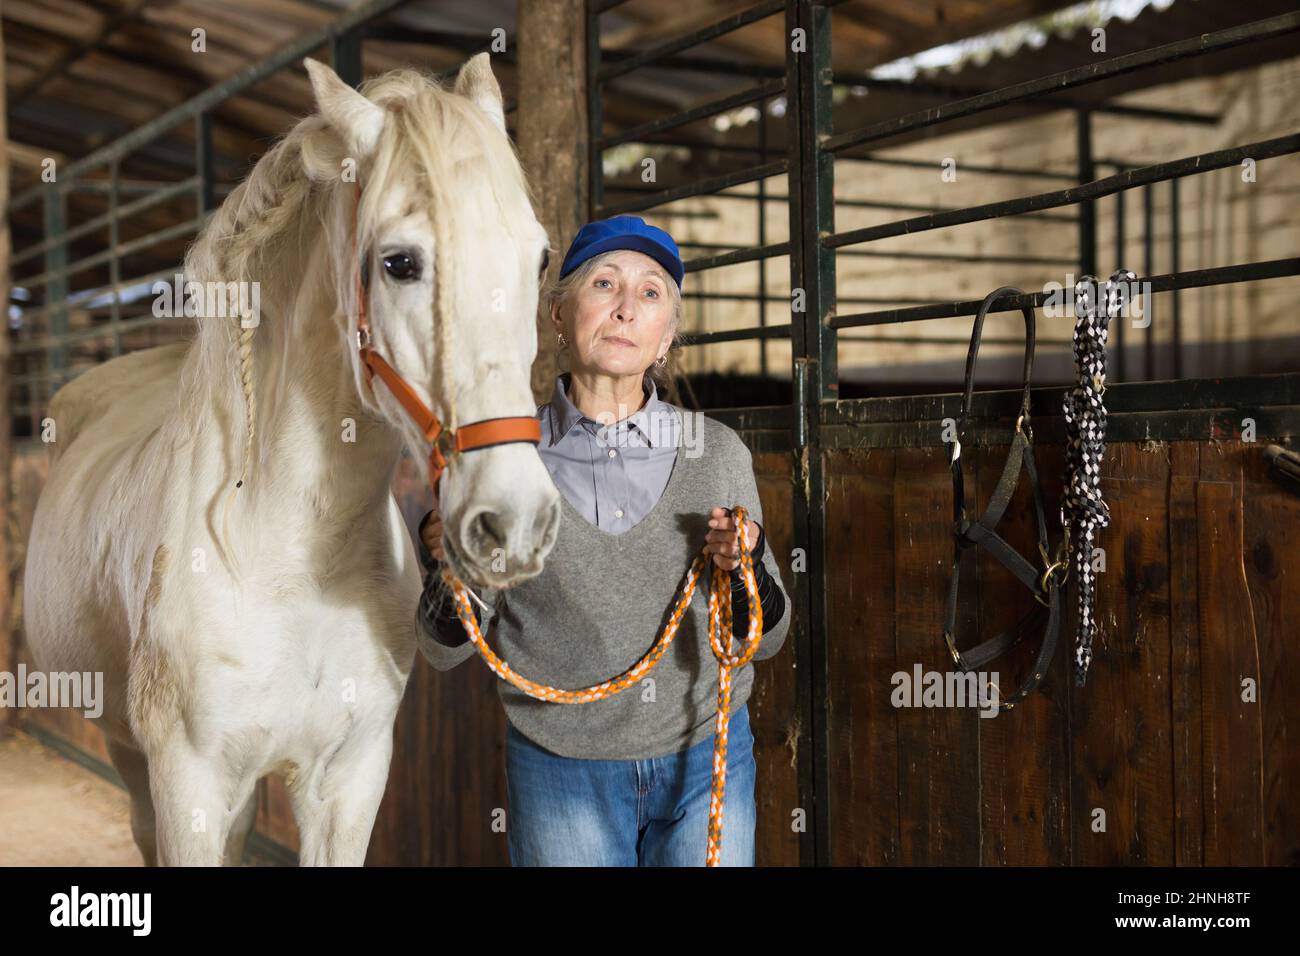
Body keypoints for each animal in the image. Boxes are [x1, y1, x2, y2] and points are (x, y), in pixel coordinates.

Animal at [21, 54, 561, 866]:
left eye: (541, 258)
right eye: (400, 263)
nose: (515, 522)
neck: (294, 556)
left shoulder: (350, 781)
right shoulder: (188, 787)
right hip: (127, 752)